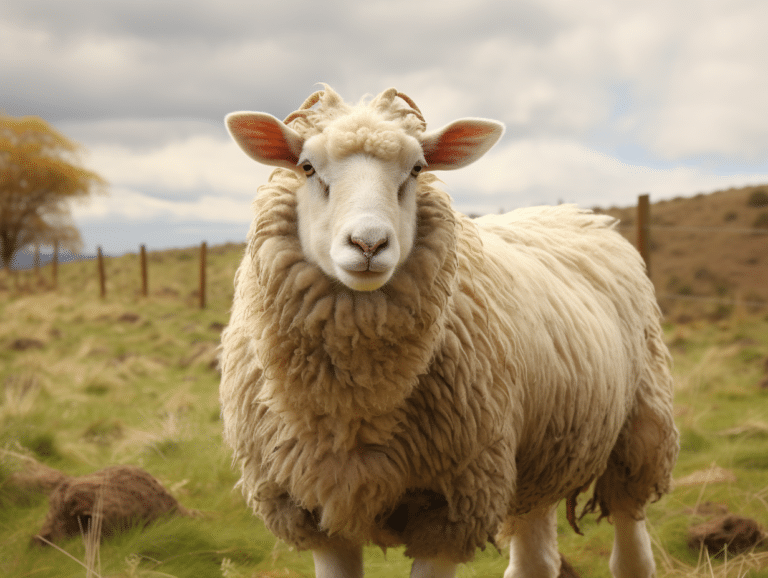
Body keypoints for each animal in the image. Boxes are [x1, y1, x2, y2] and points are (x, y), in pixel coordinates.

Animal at [219, 85, 679, 578]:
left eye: (417, 169)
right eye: (306, 167)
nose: (368, 244)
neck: (356, 406)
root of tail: (577, 213)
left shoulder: (452, 508)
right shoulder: (311, 508)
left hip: (640, 431)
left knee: (630, 549)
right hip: (539, 456)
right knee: (535, 559)